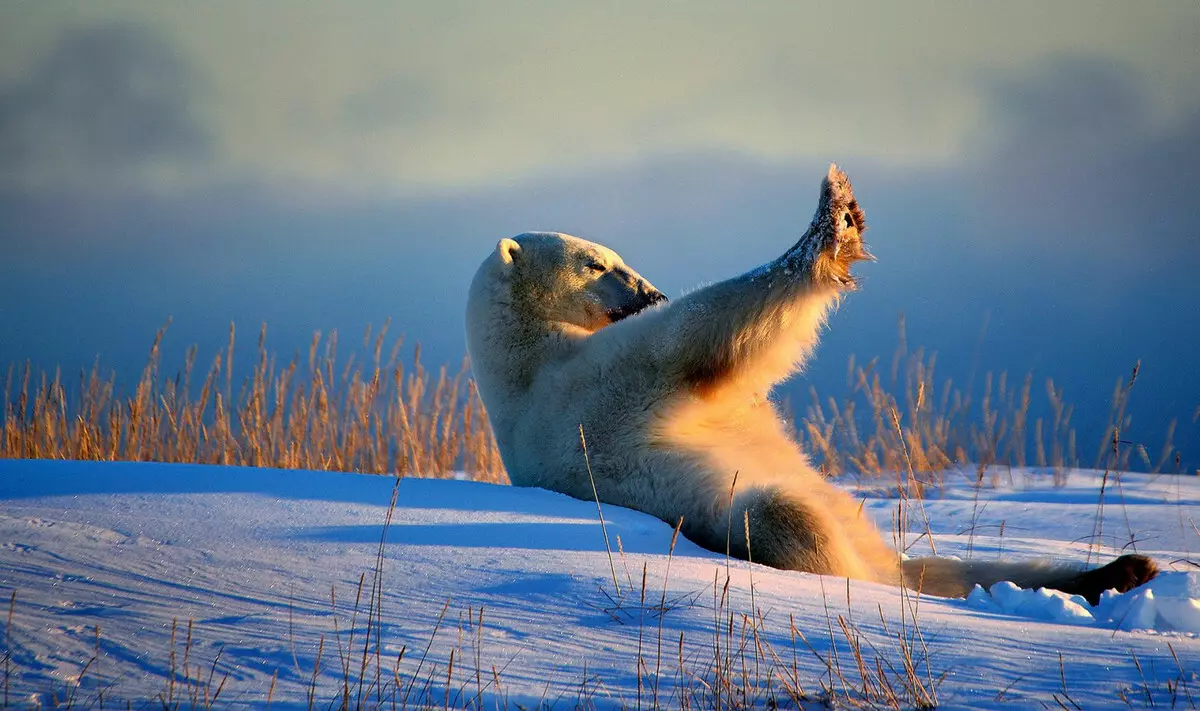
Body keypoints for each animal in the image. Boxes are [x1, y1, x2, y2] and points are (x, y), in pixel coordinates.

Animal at [463, 165, 1156, 600]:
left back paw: (1121, 569)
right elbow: (693, 336)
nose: (649, 291)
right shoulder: (584, 392)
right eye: (595, 263)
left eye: (613, 256)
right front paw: (834, 220)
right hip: (750, 517)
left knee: (960, 565)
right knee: (788, 517)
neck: (521, 367)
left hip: (882, 537)